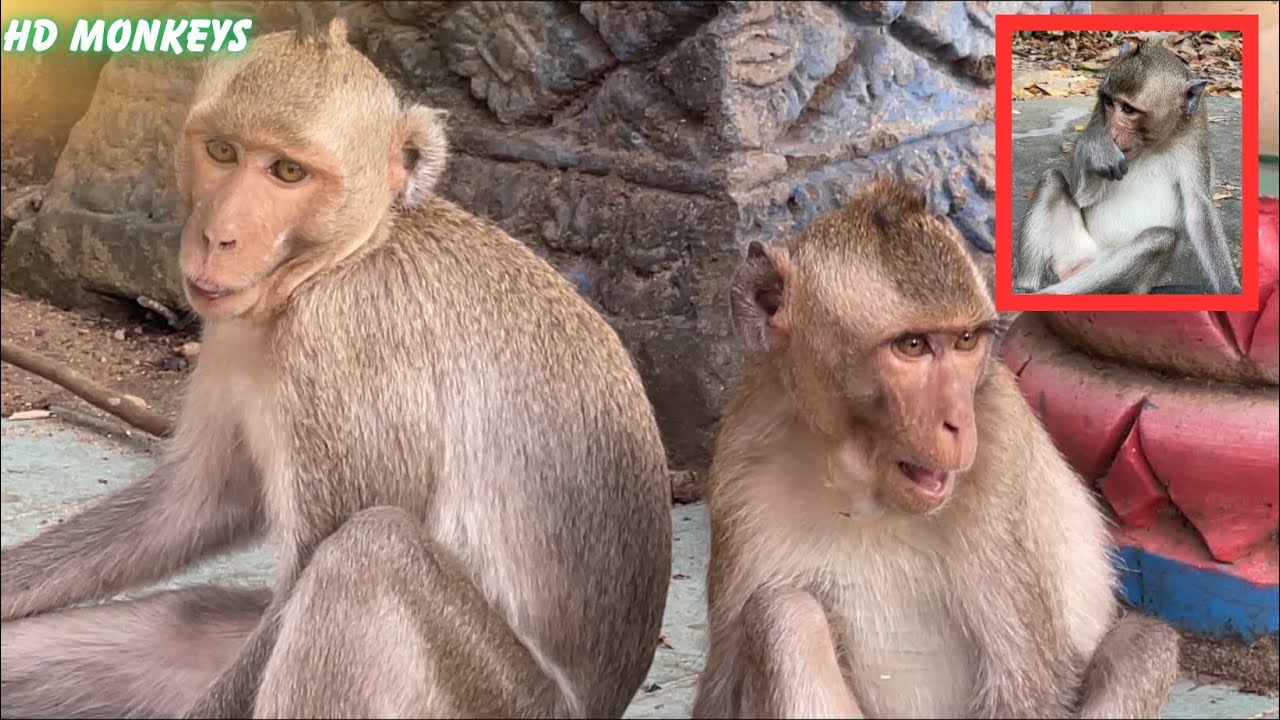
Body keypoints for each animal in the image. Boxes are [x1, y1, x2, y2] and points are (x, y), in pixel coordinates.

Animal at [0, 16, 673, 719]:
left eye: (288, 171)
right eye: (222, 152)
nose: (218, 236)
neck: (342, 259)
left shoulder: (344, 342)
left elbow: (311, 563)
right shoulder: (232, 326)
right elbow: (193, 502)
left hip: (496, 699)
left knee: (366, 554)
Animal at [692, 179, 1181, 719]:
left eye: (965, 339)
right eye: (911, 346)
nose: (959, 423)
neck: (862, 489)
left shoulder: (999, 449)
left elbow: (1027, 689)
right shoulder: (740, 465)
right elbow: (719, 694)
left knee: (1145, 644)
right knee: (782, 613)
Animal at [1012, 40, 1241, 295]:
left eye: (1129, 110)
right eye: (1109, 102)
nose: (1110, 132)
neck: (1153, 144)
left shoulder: (1195, 131)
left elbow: (1199, 209)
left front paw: (1231, 288)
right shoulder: (1098, 114)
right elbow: (1082, 199)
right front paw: (1097, 144)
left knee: (1158, 239)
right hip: (1071, 250)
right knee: (1052, 178)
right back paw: (1026, 288)